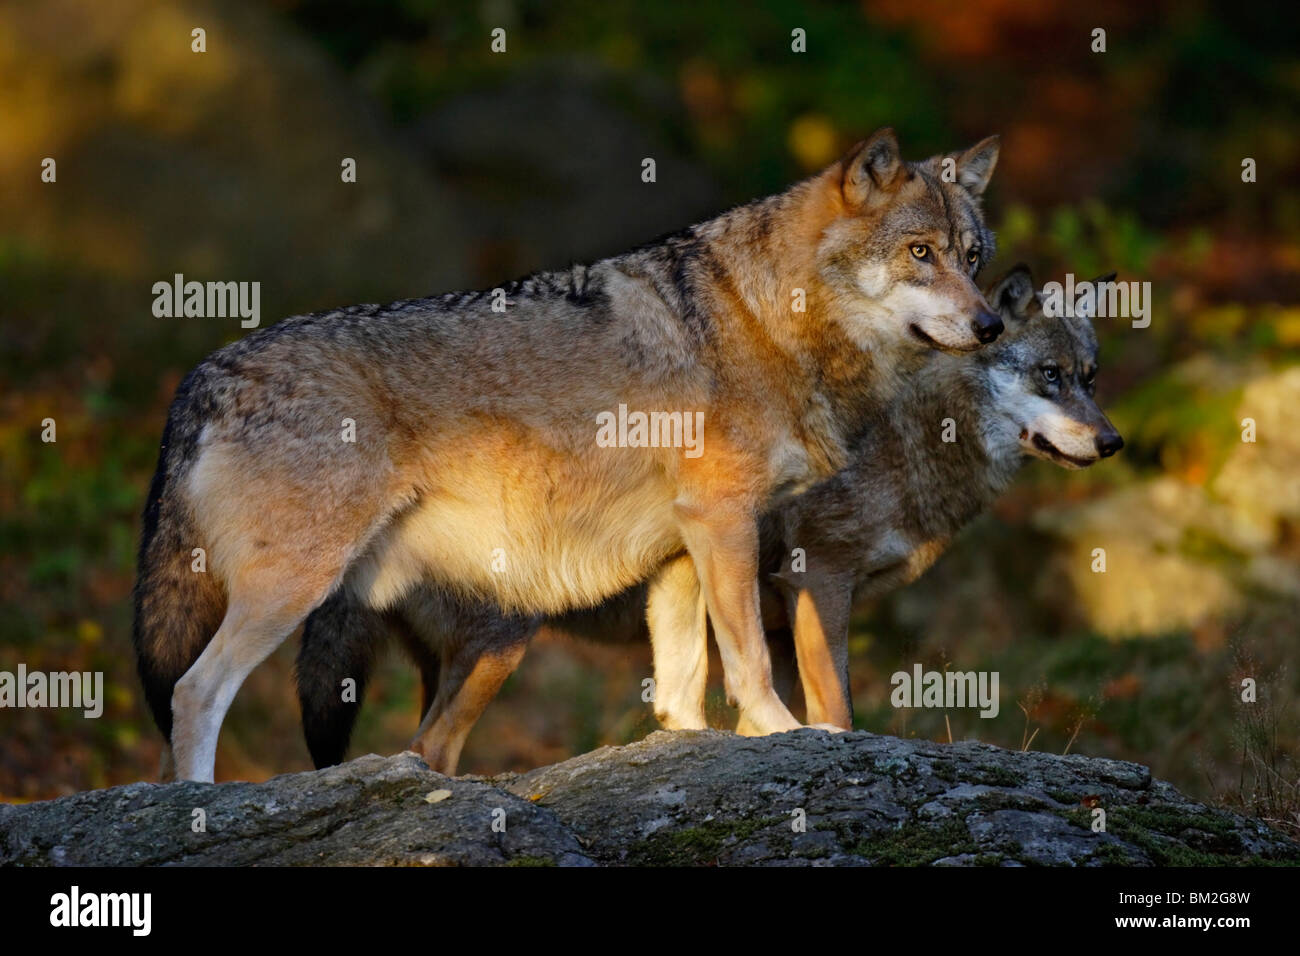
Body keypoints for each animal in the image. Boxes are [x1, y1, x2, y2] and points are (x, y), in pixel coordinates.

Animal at [134, 128, 1003, 781]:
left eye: (973, 257)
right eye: (919, 253)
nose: (991, 324)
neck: (765, 319)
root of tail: (203, 376)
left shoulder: (680, 552)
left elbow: (683, 694)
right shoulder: (723, 521)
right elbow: (750, 662)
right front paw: (786, 733)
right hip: (300, 589)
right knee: (193, 694)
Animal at [296, 265, 1121, 772]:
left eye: (1090, 377)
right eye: (1049, 376)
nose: (1113, 442)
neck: (905, 436)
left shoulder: (780, 621)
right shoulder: (819, 580)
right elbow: (835, 710)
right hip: (501, 647)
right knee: (427, 752)